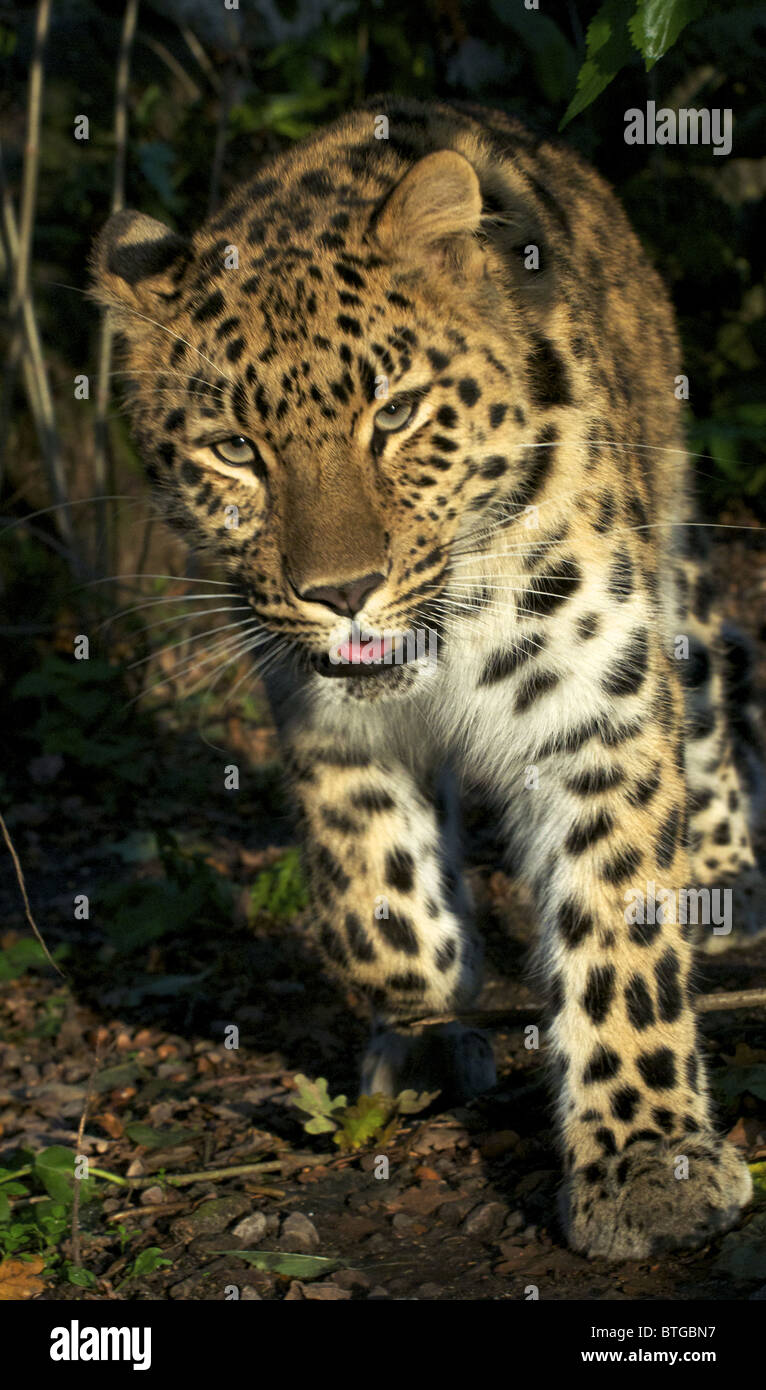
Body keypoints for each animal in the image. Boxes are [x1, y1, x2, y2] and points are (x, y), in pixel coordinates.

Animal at [90, 96, 765, 1260]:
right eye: (234, 449)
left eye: (396, 414)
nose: (343, 590)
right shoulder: (324, 717)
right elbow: (375, 894)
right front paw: (424, 1025)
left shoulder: (595, 702)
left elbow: (621, 932)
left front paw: (647, 1162)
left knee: (714, 661)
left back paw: (725, 864)